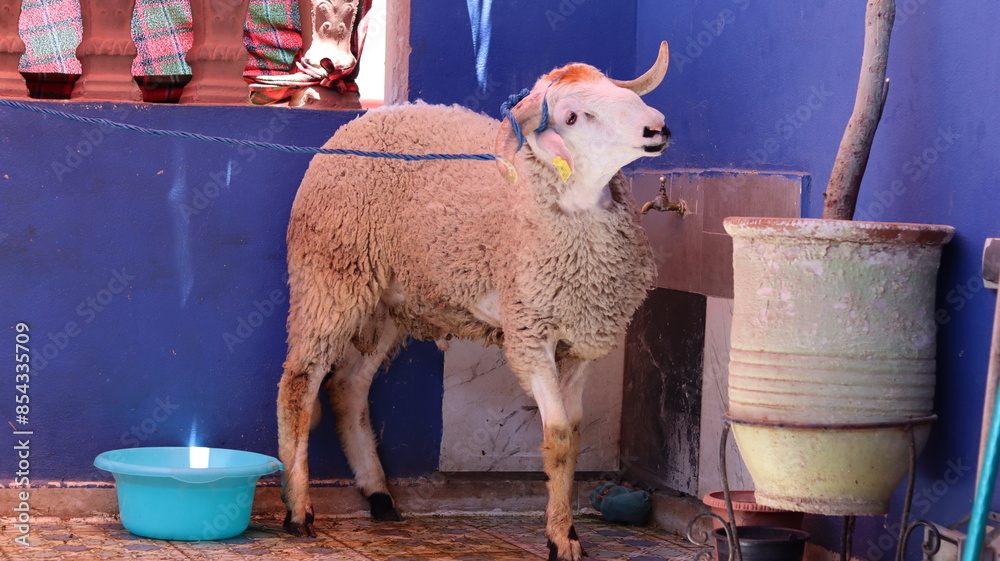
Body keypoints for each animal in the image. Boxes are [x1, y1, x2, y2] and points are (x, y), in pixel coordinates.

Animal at [277, 41, 671, 561]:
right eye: (571, 116)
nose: (658, 127)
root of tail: (361, 122)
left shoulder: (581, 339)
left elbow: (574, 435)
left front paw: (568, 531)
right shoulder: (530, 332)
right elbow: (558, 437)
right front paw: (558, 538)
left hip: (390, 302)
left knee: (348, 387)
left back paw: (378, 493)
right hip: (330, 277)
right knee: (300, 384)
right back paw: (298, 510)